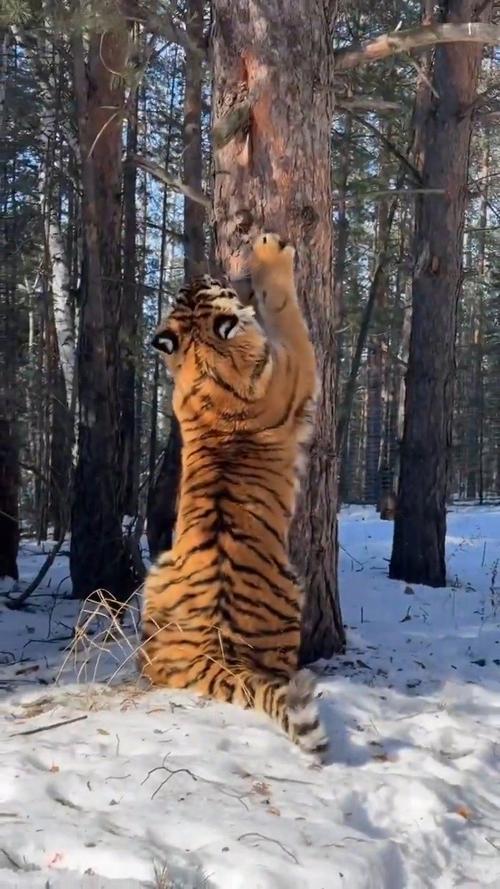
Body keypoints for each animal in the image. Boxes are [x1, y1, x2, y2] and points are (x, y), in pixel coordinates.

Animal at [141, 232, 328, 759]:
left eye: (195, 286)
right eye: (216, 284)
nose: (208, 266)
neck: (204, 360)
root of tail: (212, 656)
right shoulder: (296, 359)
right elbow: (285, 306)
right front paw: (271, 254)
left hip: (156, 577)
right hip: (292, 593)